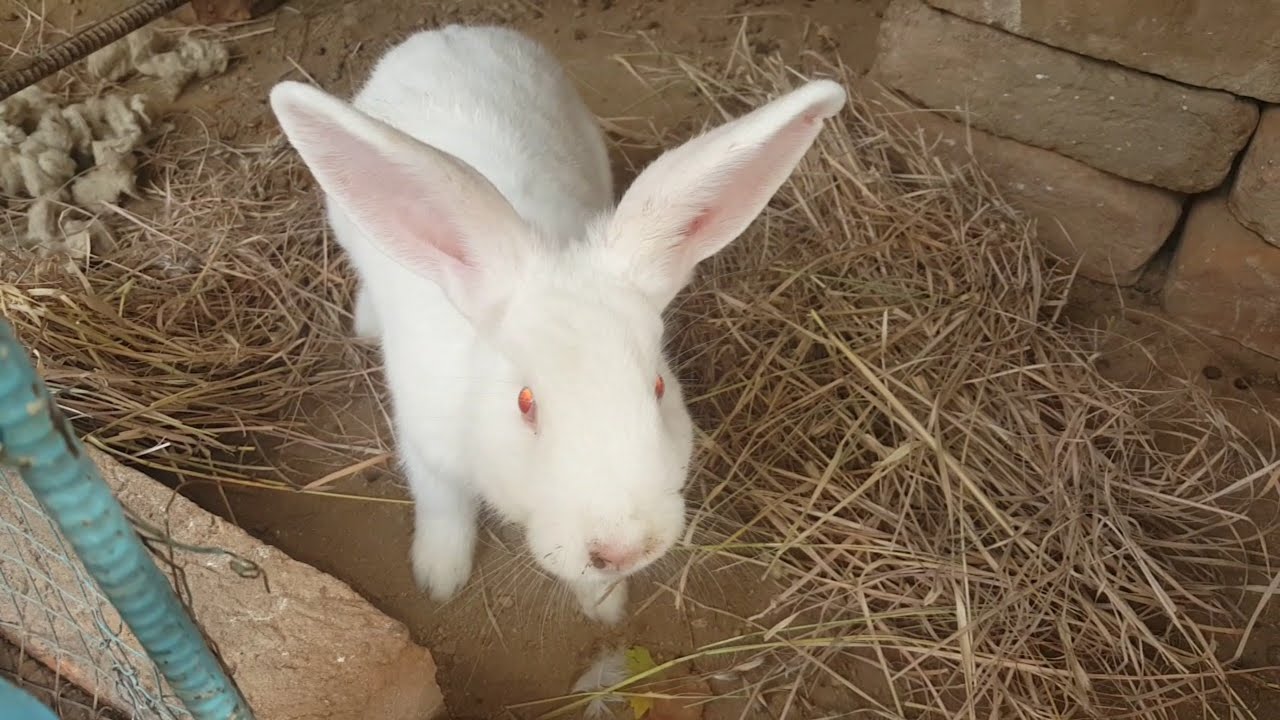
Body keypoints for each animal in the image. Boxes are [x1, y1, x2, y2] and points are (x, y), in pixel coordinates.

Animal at [268, 24, 846, 624]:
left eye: (658, 388)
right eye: (525, 403)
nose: (623, 548)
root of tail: (456, 30)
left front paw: (605, 606)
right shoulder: (428, 451)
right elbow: (444, 510)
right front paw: (439, 578)